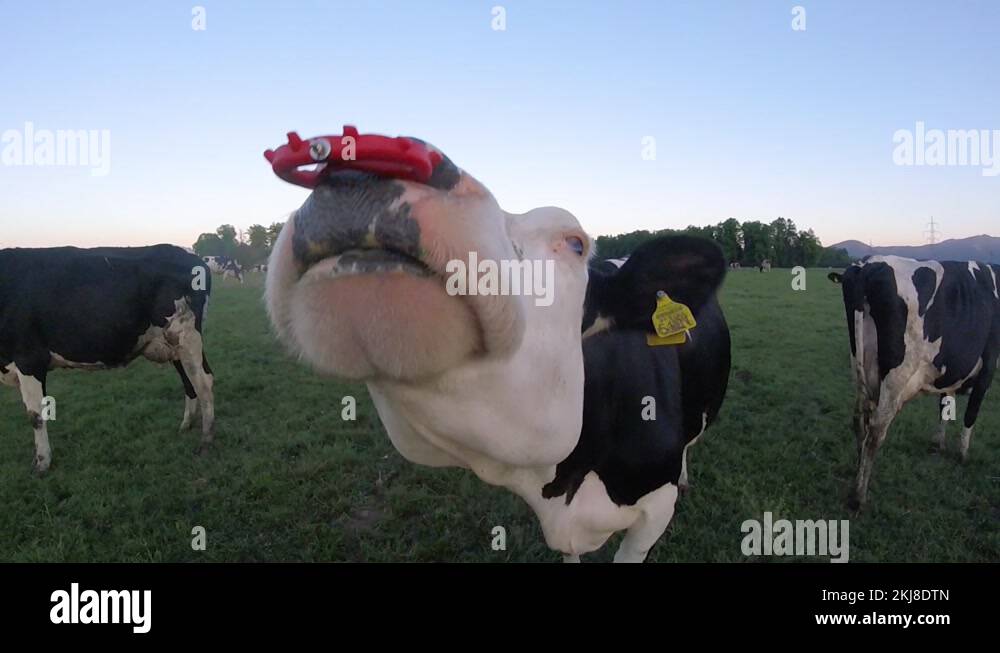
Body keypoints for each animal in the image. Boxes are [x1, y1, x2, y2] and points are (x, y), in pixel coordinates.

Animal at [0, 244, 216, 472]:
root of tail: (190, 256)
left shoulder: (29, 359)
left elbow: (36, 415)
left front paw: (42, 462)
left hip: (187, 337)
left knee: (203, 383)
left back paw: (205, 441)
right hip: (175, 344)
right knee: (189, 383)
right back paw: (186, 425)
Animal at [829, 255, 1000, 509]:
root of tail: (868, 267)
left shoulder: (948, 371)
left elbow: (944, 407)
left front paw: (938, 444)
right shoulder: (987, 370)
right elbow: (970, 416)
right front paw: (962, 455)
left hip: (859, 368)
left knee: (860, 422)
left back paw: (858, 474)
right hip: (897, 375)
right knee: (876, 430)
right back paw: (859, 496)